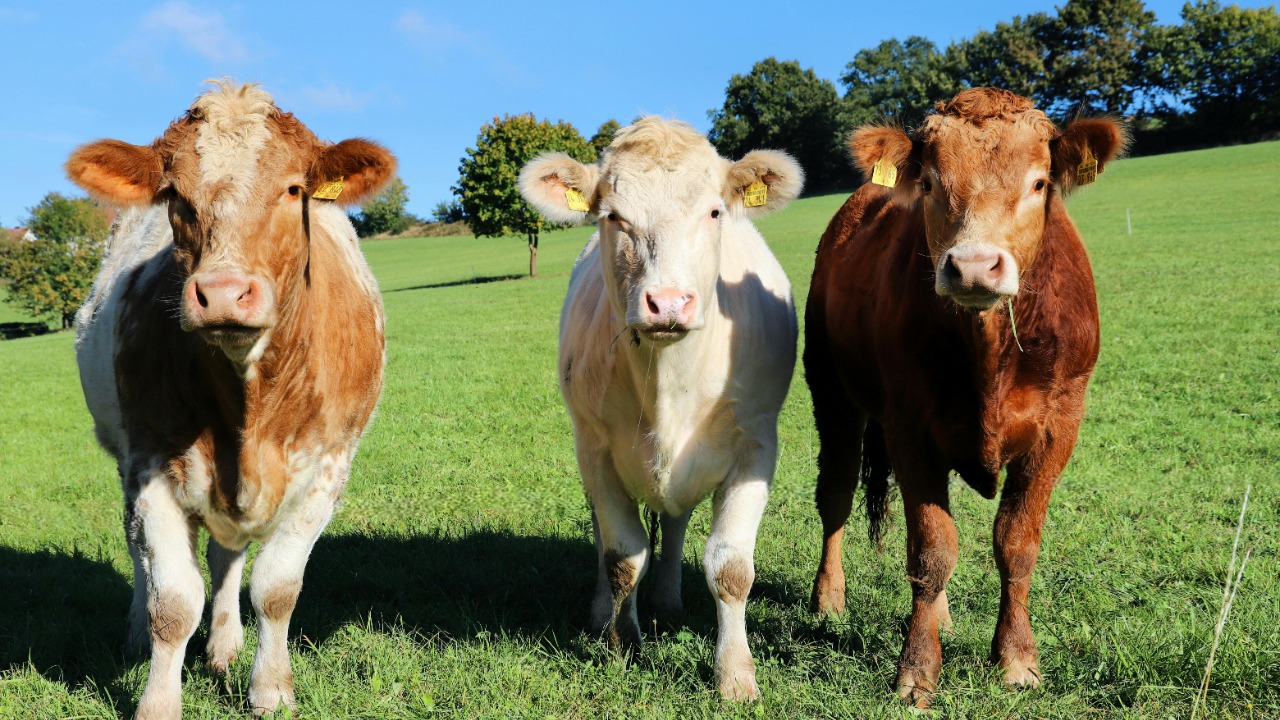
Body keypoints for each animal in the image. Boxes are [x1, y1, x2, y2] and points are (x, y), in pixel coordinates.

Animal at [65, 80, 395, 719]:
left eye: (293, 189)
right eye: (174, 193)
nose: (221, 293)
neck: (249, 410)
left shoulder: (327, 470)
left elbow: (275, 587)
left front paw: (270, 689)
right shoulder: (150, 464)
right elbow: (171, 601)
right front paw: (158, 702)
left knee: (226, 559)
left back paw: (224, 641)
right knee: (142, 553)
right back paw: (138, 633)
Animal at [518, 117, 802, 700]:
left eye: (714, 212)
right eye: (613, 216)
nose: (668, 303)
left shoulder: (757, 444)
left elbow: (730, 566)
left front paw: (734, 674)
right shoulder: (595, 446)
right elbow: (622, 555)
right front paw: (622, 640)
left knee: (674, 522)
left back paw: (668, 598)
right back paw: (601, 609)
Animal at [803, 88, 1126, 706]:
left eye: (1039, 183)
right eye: (930, 182)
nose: (974, 265)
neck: (989, 350)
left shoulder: (1059, 426)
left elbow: (1015, 543)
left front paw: (1017, 659)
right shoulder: (908, 427)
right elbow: (931, 550)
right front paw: (917, 671)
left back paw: (944, 618)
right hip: (831, 392)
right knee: (836, 493)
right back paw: (828, 598)